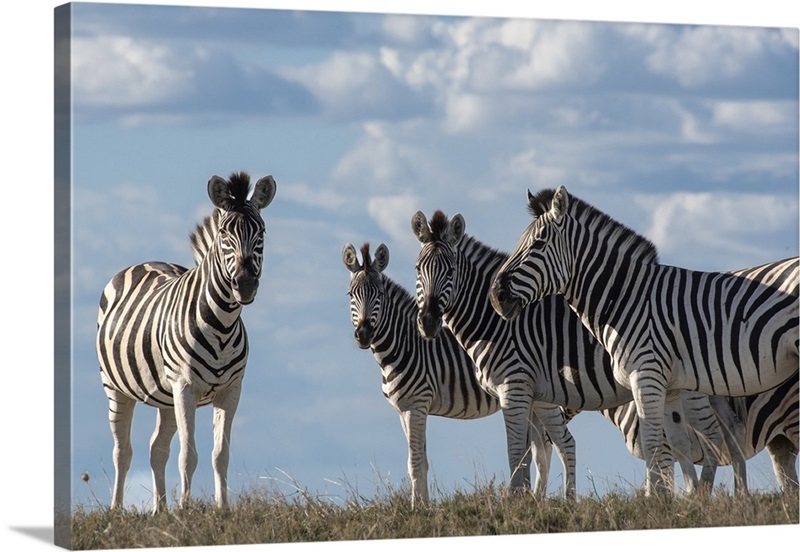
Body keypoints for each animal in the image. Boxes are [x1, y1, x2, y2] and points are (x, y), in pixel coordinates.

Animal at [96, 171, 277, 513]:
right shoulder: (186, 388)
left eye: (261, 231)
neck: (222, 324)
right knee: (122, 451)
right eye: (224, 233)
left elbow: (220, 455)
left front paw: (221, 509)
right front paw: (186, 509)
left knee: (156, 449)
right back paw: (117, 510)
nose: (245, 284)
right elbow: (188, 456)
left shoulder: (231, 392)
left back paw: (160, 510)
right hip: (116, 388)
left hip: (166, 399)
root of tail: (145, 262)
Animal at [342, 241, 577, 504]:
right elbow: (421, 462)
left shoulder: (417, 406)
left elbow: (415, 462)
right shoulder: (403, 411)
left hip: (543, 398)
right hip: (532, 401)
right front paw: (424, 506)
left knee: (560, 444)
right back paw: (537, 501)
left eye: (380, 295)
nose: (364, 334)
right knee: (543, 450)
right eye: (351, 295)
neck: (405, 345)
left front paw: (416, 507)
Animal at [411, 210, 730, 496]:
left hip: (688, 389)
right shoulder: (535, 394)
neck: (493, 323)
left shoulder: (514, 386)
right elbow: (537, 453)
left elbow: (517, 452)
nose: (428, 321)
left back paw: (699, 495)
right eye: (417, 269)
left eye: (451, 270)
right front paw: (532, 502)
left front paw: (515, 502)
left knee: (709, 443)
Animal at [489, 186, 799, 495]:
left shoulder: (646, 375)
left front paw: (656, 499)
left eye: (538, 244)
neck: (627, 298)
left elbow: (654, 446)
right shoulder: (671, 385)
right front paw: (686, 500)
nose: (495, 296)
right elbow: (677, 446)